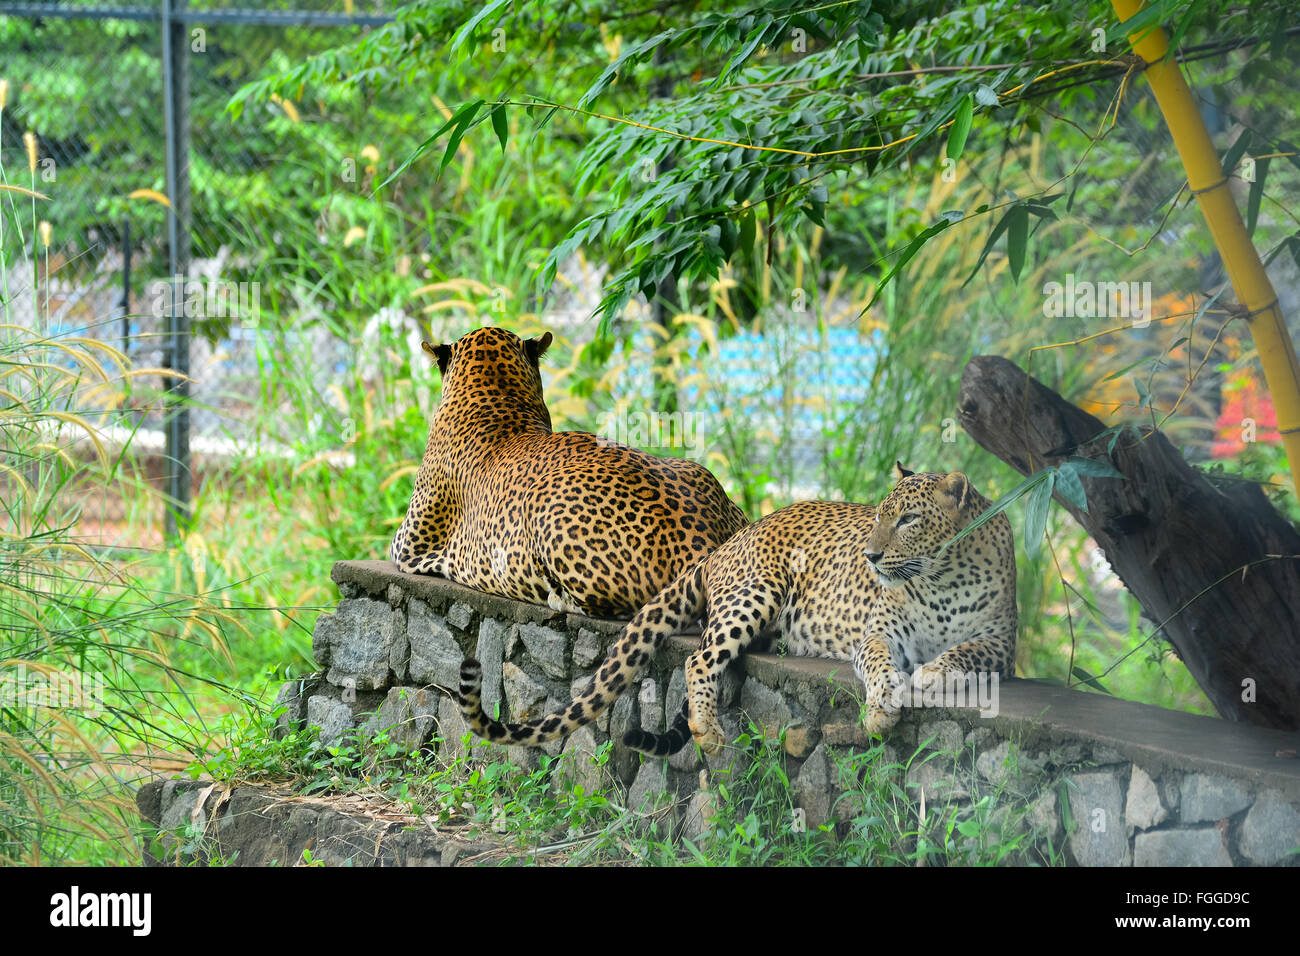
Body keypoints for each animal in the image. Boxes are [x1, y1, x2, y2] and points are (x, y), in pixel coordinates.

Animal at [457, 464, 1017, 754]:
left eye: (908, 520)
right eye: (880, 516)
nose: (870, 556)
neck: (940, 578)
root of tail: (727, 543)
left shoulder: (1002, 643)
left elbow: (967, 652)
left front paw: (935, 671)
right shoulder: (878, 634)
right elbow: (880, 665)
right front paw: (882, 709)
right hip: (759, 589)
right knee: (697, 658)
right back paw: (708, 729)